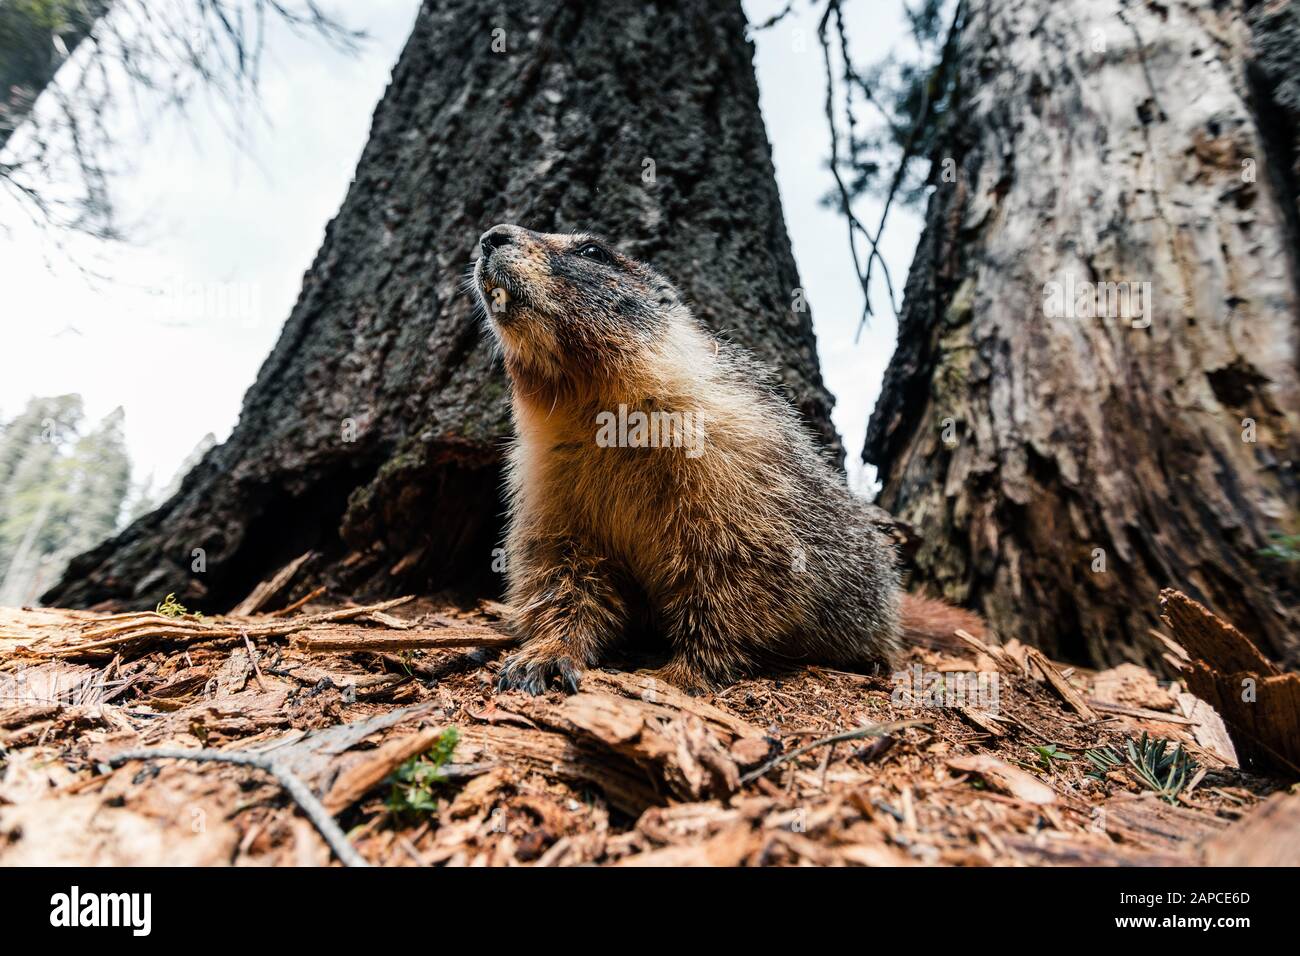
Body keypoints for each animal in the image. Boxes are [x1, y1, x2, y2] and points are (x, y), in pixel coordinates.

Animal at [472, 223, 982, 694]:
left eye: (592, 251)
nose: (490, 235)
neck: (597, 417)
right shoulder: (546, 477)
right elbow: (561, 566)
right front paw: (542, 655)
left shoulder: (729, 457)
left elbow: (736, 564)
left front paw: (681, 673)